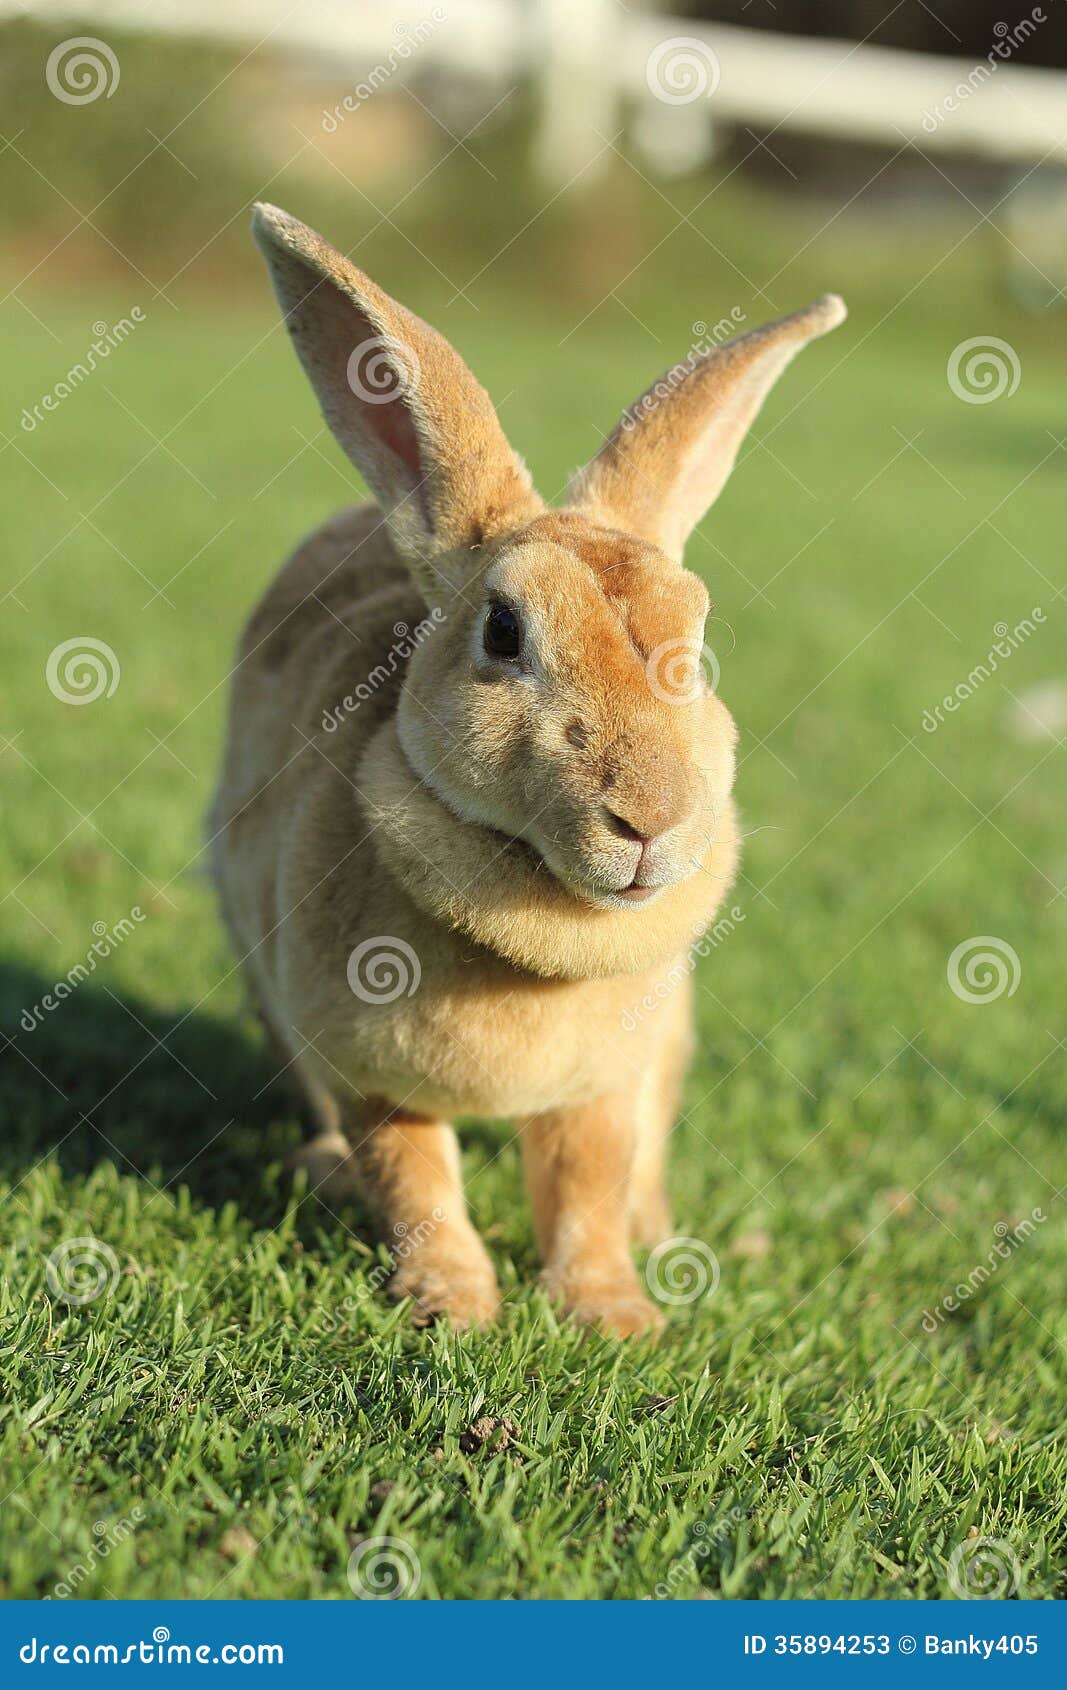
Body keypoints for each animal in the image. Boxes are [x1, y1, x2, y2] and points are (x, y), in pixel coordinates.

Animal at [209, 202, 845, 1337]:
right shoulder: (371, 1072)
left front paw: (613, 1316)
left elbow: (585, 1183)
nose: (649, 818)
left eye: (696, 644)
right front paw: (452, 1307)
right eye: (503, 632)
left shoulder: (600, 1083)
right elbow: (415, 1180)